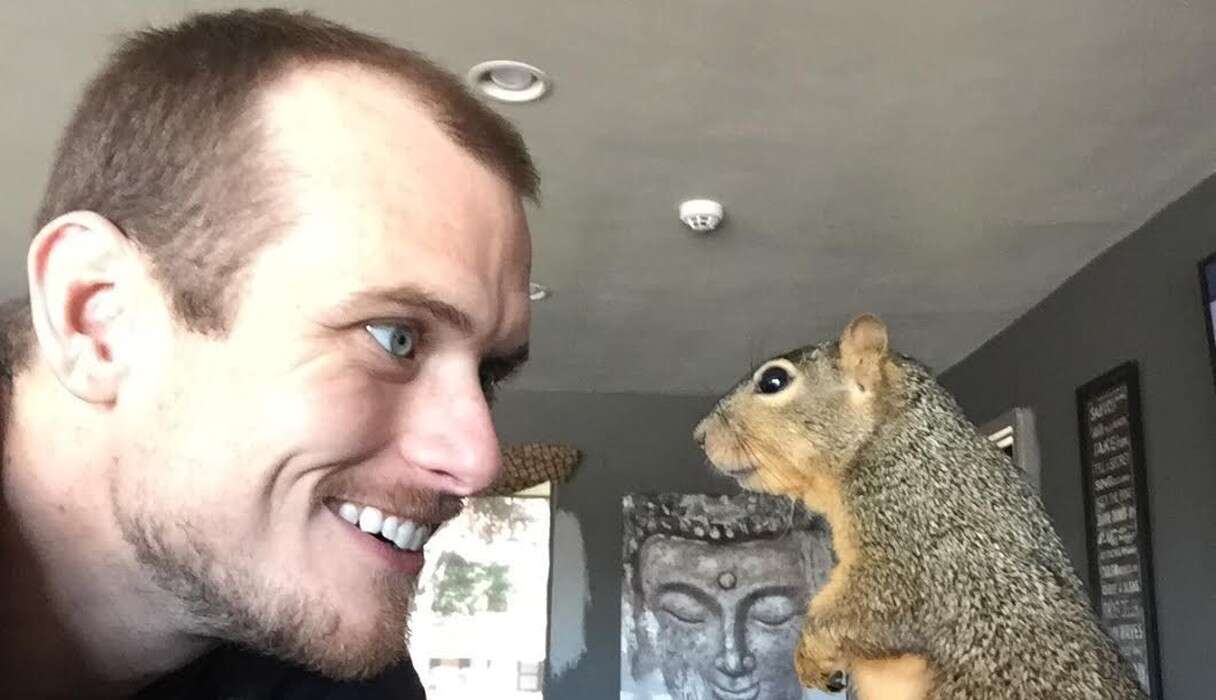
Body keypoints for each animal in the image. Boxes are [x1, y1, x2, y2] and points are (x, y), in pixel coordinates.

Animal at [693, 314, 1146, 700]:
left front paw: (810, 651)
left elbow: (877, 601)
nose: (699, 435)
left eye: (773, 380)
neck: (888, 439)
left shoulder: (920, 533)